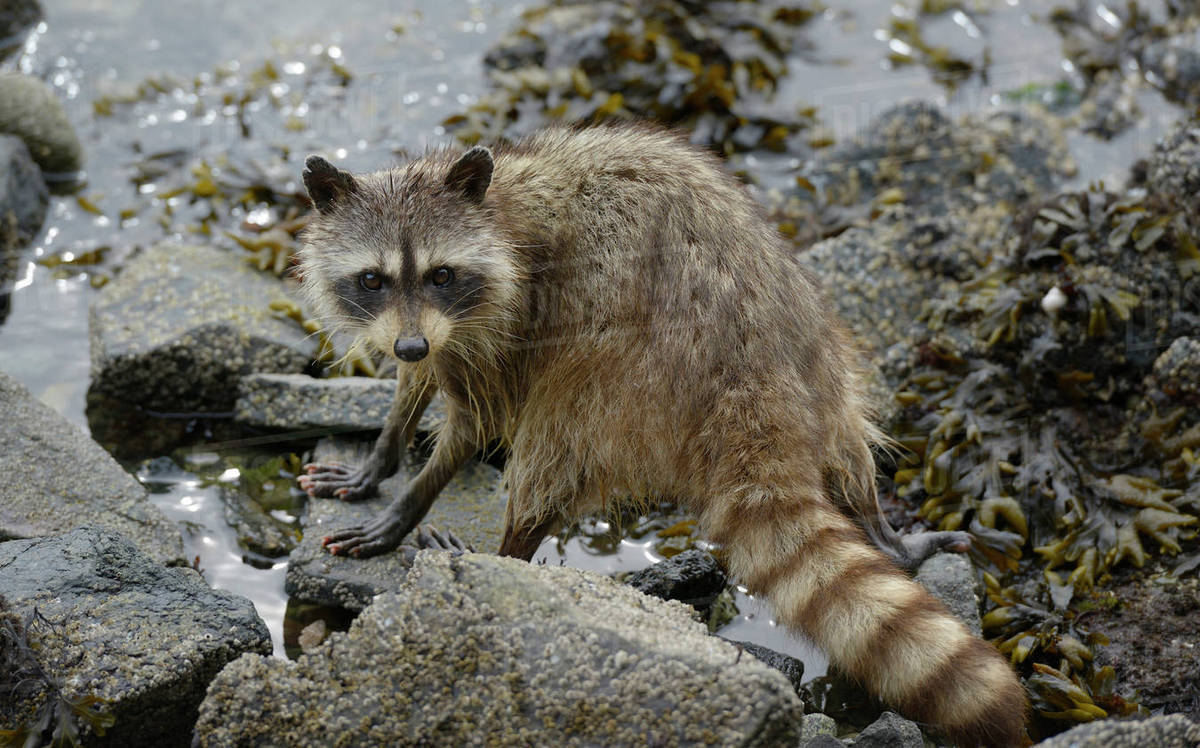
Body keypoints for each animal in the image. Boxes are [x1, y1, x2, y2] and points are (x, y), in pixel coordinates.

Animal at [295, 125, 1026, 747]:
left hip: (620, 372)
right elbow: (416, 383)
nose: (411, 344)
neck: (497, 207)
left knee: (547, 452)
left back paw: (505, 557)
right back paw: (885, 533)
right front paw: (382, 451)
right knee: (848, 441)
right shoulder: (439, 329)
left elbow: (478, 419)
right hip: (814, 342)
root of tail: (747, 375)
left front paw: (405, 504)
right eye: (373, 279)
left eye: (441, 274)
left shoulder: (512, 313)